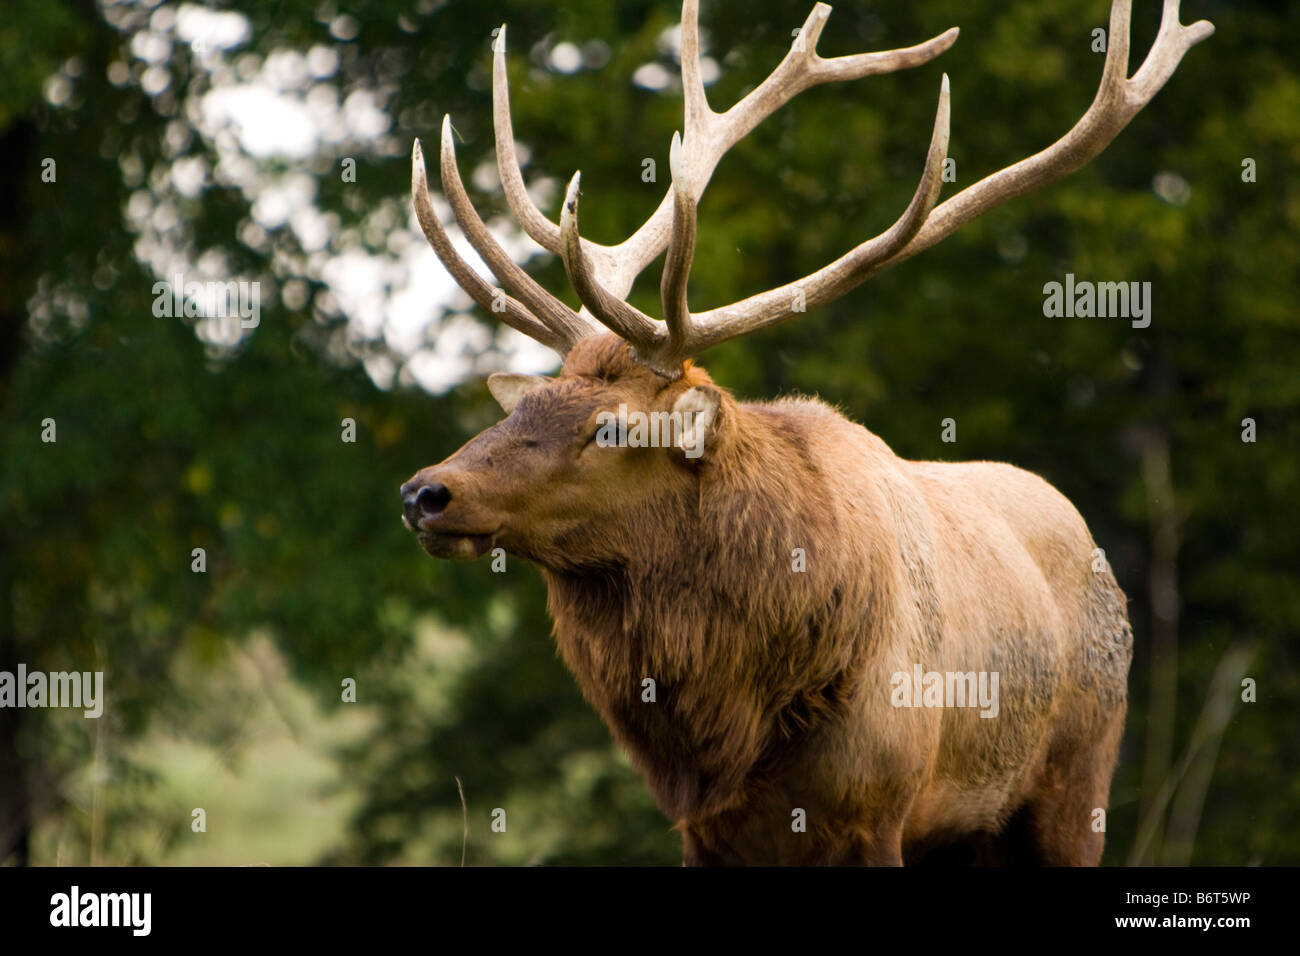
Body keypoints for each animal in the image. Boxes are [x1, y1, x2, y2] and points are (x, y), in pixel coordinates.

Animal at [399, 0, 1211, 865]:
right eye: (524, 405)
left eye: (609, 429)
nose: (426, 493)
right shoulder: (703, 831)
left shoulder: (878, 808)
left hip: (1077, 778)